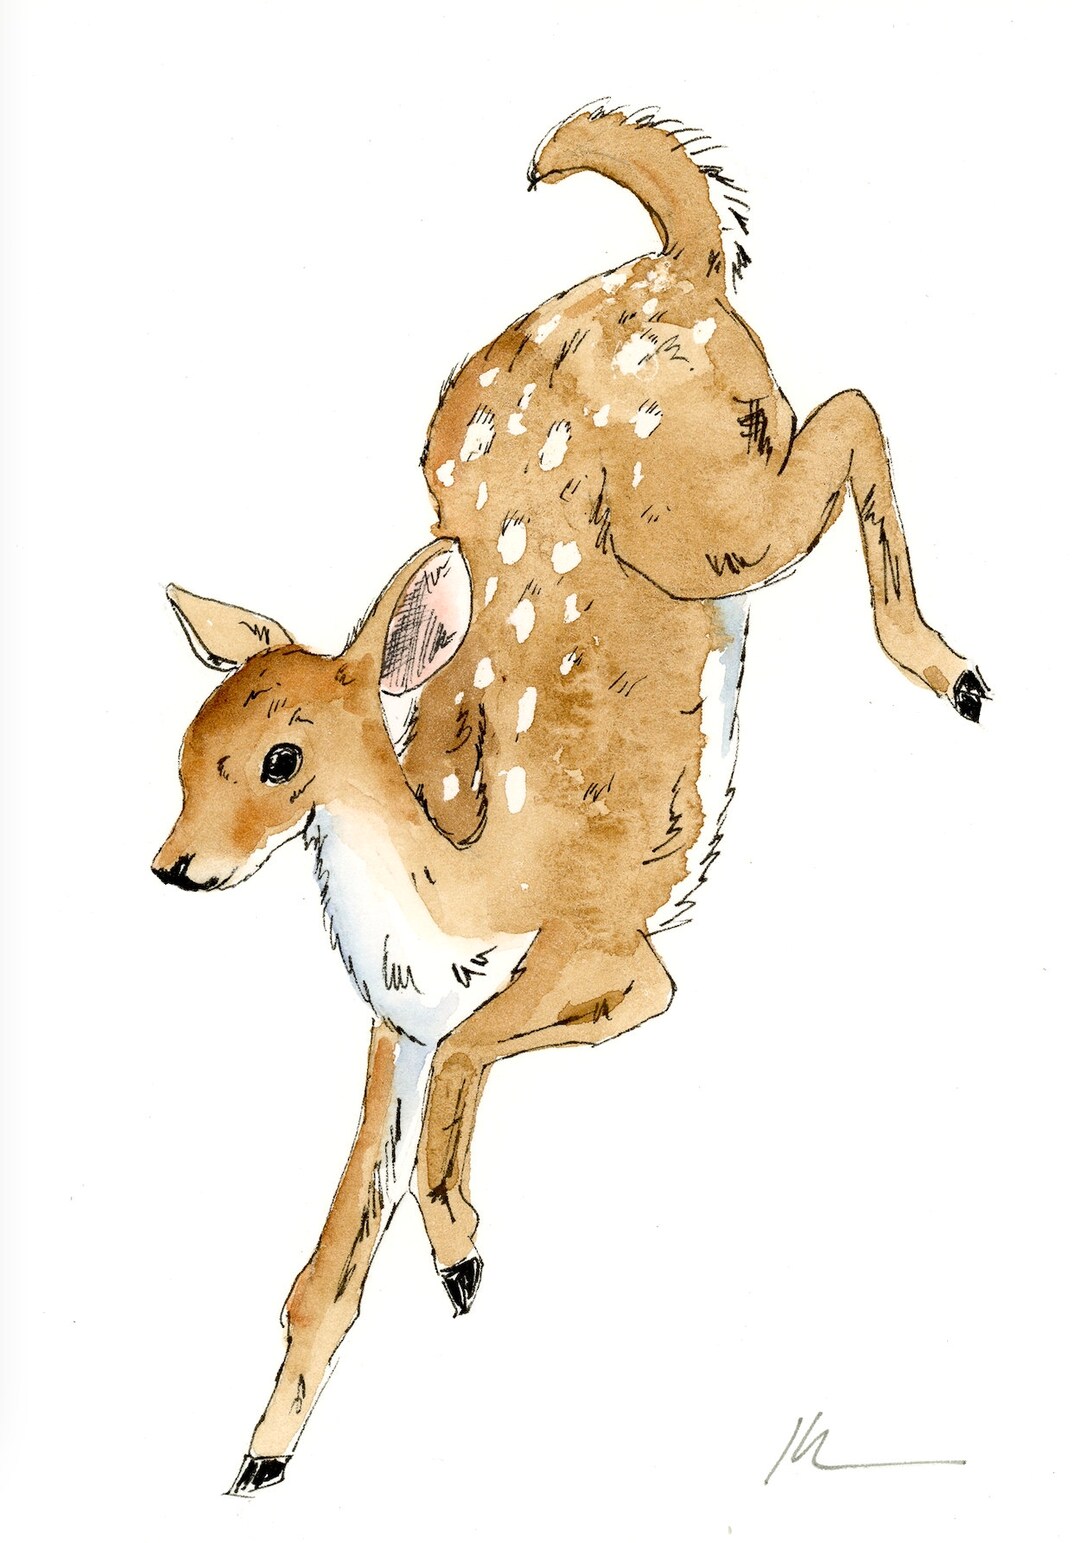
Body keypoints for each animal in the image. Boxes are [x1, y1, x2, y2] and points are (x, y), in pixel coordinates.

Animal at [152, 104, 988, 1496]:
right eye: (184, 746)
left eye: (279, 761)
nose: (174, 866)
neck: (463, 895)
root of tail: (667, 272)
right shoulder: (391, 1019)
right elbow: (326, 1266)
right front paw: (262, 1456)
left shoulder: (621, 956)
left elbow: (487, 1054)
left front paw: (460, 1250)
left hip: (711, 512)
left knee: (855, 410)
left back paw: (955, 671)